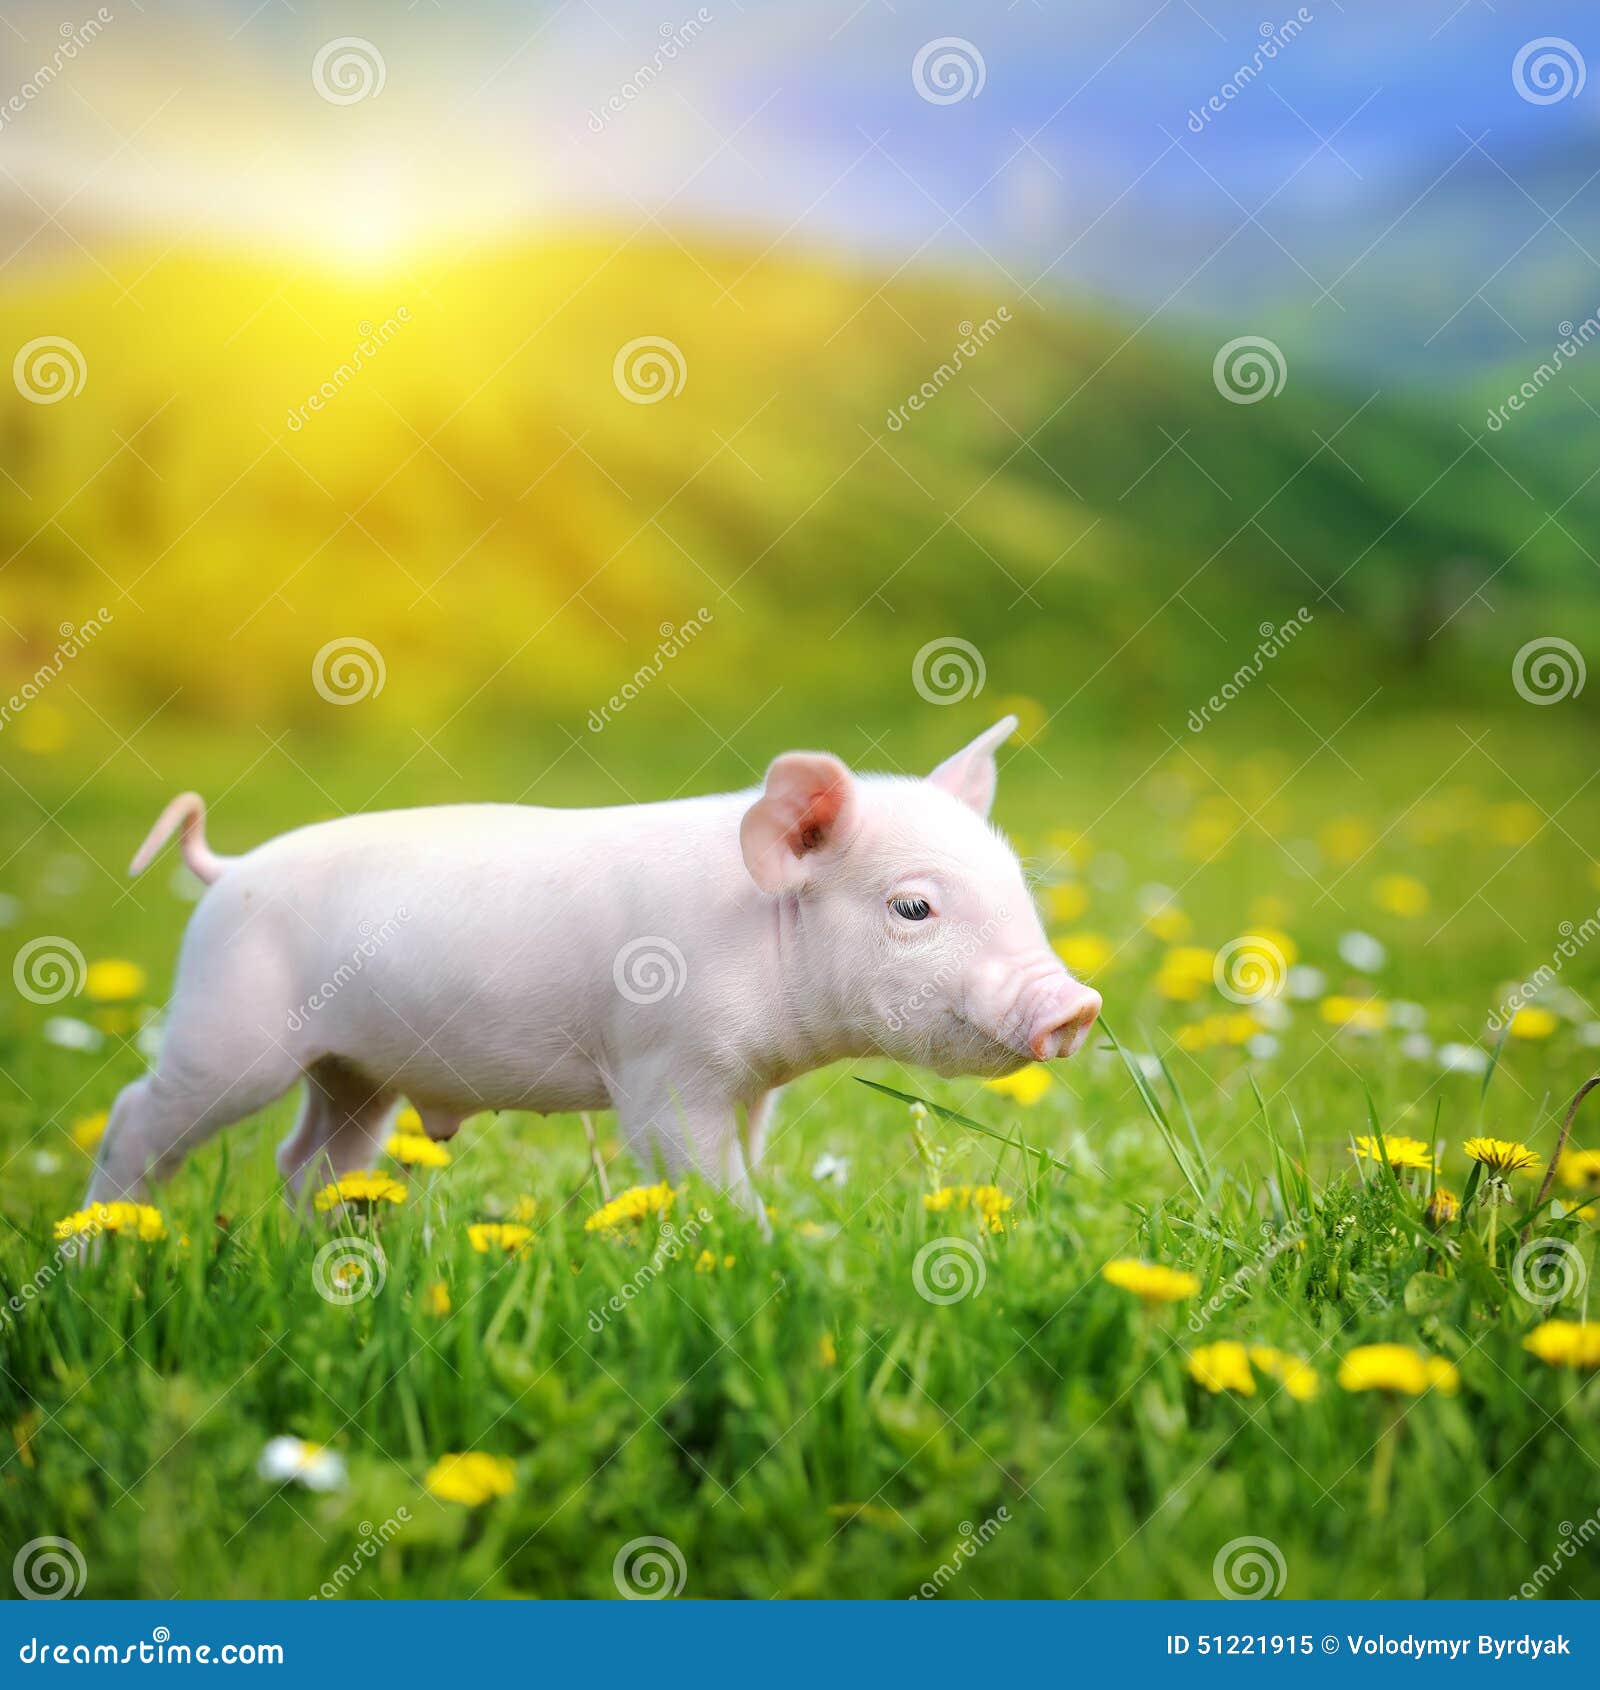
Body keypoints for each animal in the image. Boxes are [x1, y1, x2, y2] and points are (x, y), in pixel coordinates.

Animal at [85, 716, 1101, 1223]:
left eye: (1017, 888)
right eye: (913, 908)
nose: (1077, 1003)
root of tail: (228, 869)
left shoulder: (752, 1085)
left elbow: (747, 1161)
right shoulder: (663, 1066)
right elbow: (702, 1174)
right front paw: (756, 1251)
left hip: (354, 1071)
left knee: (311, 1161)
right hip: (229, 1030)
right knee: (135, 1118)